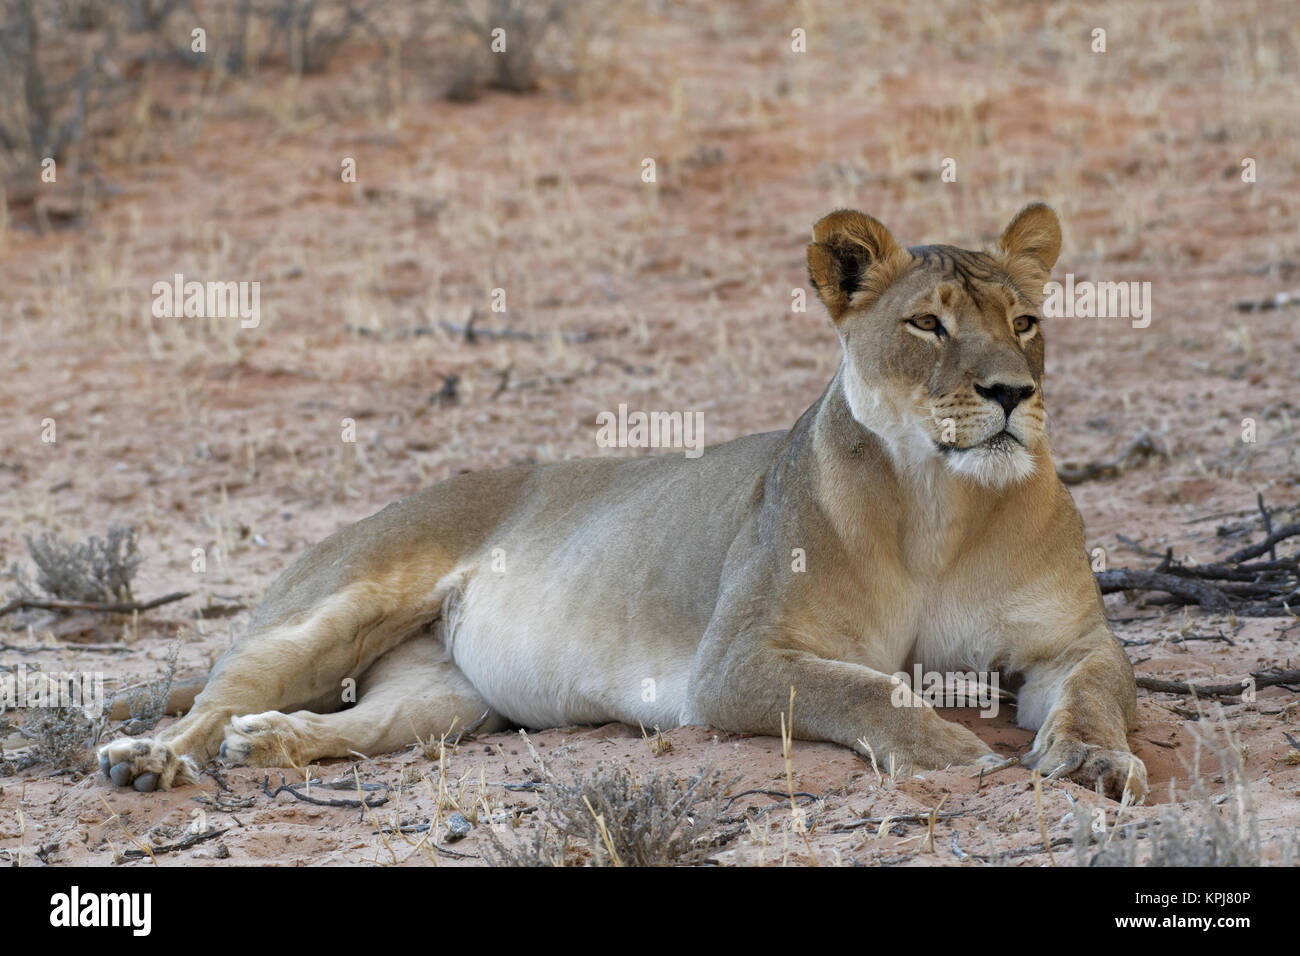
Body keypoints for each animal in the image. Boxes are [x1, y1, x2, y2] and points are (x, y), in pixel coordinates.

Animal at [98, 203, 1147, 801]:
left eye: (1026, 321)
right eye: (928, 324)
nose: (1012, 392)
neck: (941, 506)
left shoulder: (1070, 642)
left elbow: (1095, 694)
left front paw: (1096, 764)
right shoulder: (736, 664)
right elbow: (866, 686)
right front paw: (947, 750)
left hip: (448, 700)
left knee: (352, 727)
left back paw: (268, 744)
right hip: (334, 607)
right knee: (214, 695)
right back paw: (149, 758)